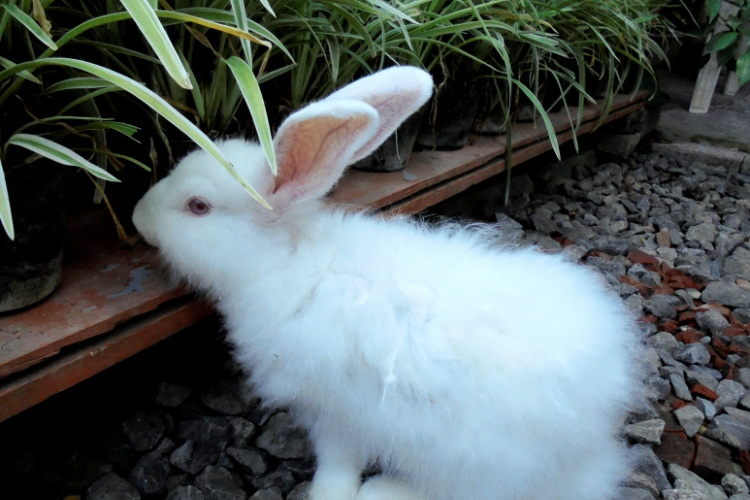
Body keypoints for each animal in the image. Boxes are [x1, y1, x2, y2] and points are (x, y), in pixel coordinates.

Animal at [132, 66, 643, 500]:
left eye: (198, 206)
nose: (138, 217)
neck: (288, 260)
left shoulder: (334, 409)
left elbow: (337, 460)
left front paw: (328, 493)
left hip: (471, 458)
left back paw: (385, 490)